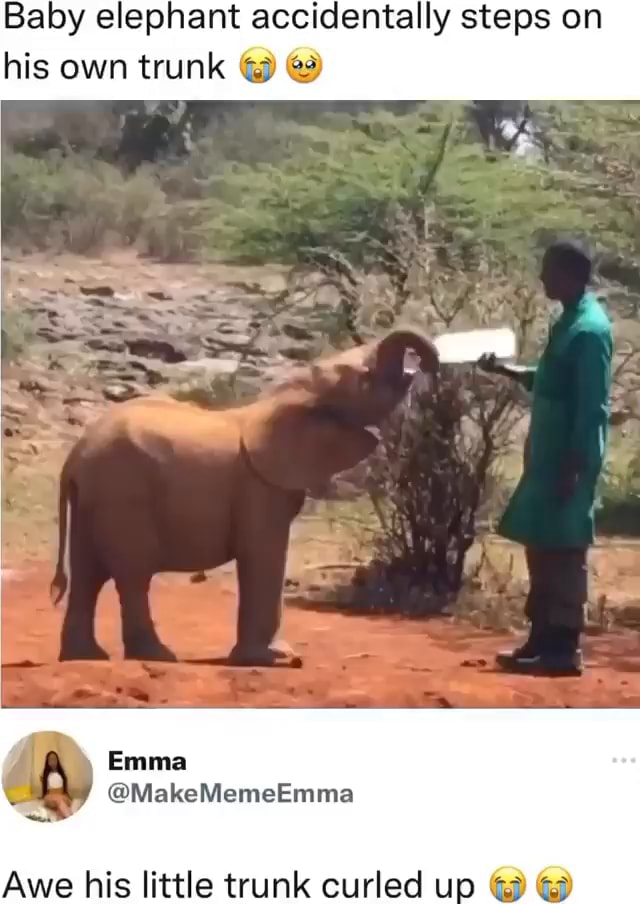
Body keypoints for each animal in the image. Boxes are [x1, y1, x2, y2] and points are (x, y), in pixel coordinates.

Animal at [50, 328, 439, 667]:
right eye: (364, 376)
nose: (428, 365)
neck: (291, 393)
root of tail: (73, 459)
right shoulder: (259, 485)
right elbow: (263, 554)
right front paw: (278, 660)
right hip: (123, 494)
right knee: (132, 574)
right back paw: (158, 656)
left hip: (94, 497)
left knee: (88, 574)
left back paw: (85, 657)